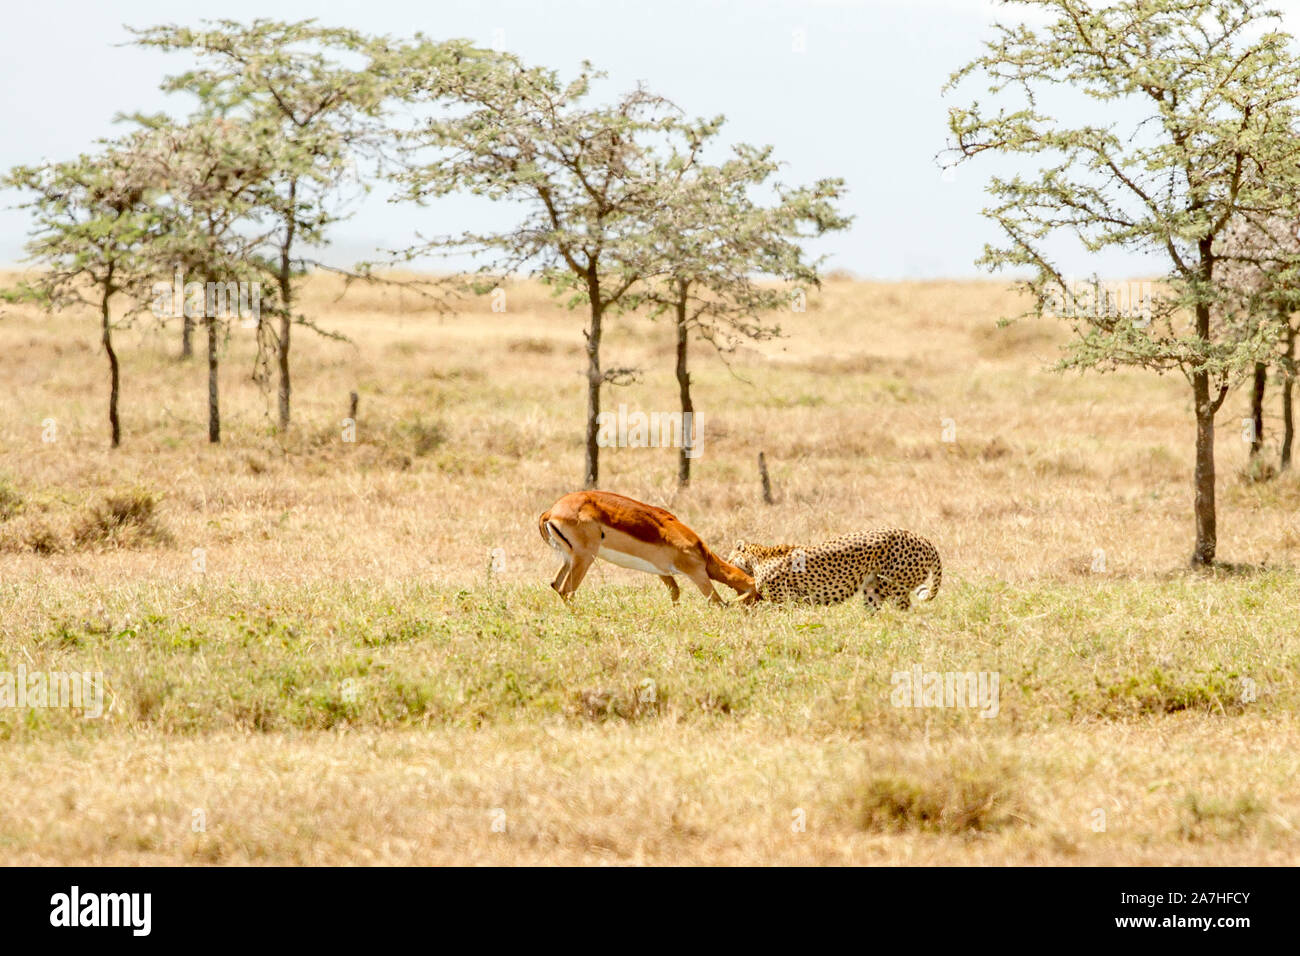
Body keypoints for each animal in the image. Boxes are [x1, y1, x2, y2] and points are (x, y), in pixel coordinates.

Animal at [538, 490, 757, 605]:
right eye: (757, 594)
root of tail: (552, 511)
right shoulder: (697, 573)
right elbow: (717, 602)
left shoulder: (662, 572)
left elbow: (675, 593)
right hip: (585, 558)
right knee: (567, 590)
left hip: (569, 557)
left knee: (556, 584)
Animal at [726, 529, 942, 612]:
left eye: (729, 558)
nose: (726, 561)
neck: (759, 558)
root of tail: (921, 538)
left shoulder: (787, 602)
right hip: (873, 589)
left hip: (894, 588)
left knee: (906, 612)